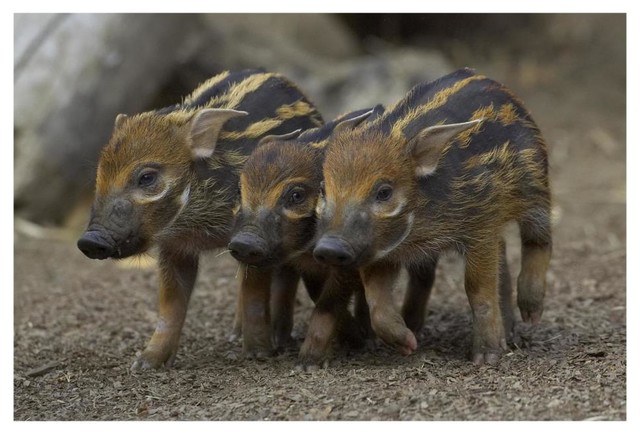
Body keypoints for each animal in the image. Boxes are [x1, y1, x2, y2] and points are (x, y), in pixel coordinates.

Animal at [77, 69, 323, 370]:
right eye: (100, 174)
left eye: (147, 177)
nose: (90, 240)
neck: (197, 222)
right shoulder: (175, 247)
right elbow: (171, 303)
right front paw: (145, 363)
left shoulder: (251, 239)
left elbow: (254, 291)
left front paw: (257, 354)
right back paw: (236, 334)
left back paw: (277, 338)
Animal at [227, 107, 384, 366]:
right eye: (239, 191)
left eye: (297, 195)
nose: (243, 242)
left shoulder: (346, 259)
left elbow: (330, 301)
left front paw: (307, 363)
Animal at [313, 68, 552, 365]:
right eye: (323, 188)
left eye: (384, 192)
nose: (329, 248)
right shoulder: (377, 250)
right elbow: (377, 300)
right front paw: (408, 345)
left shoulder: (480, 225)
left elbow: (478, 288)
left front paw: (486, 358)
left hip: (537, 186)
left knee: (539, 239)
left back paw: (531, 316)